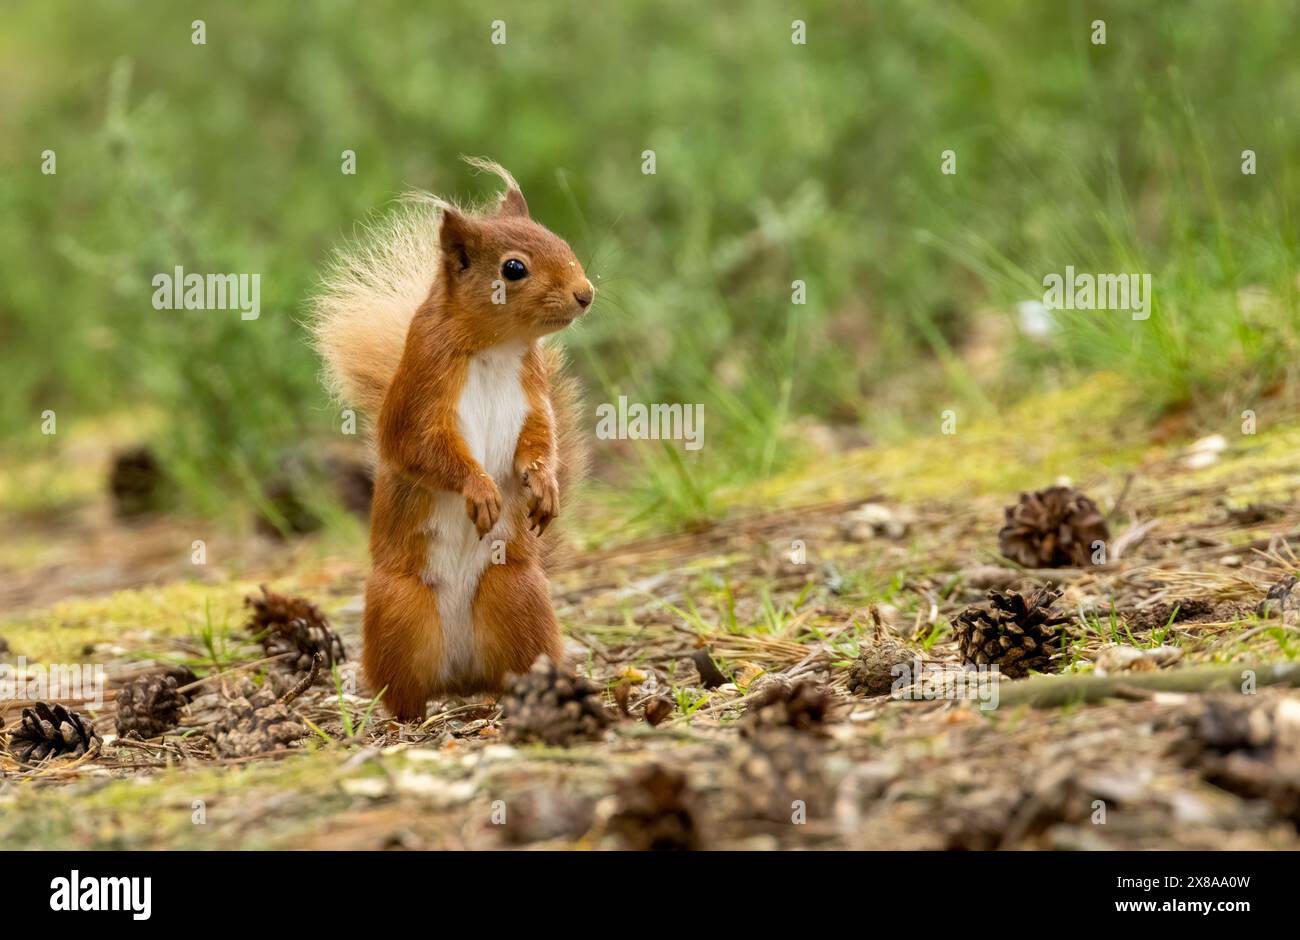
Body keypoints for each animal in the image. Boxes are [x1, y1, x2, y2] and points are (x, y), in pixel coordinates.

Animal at [311, 158, 593, 719]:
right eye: (513, 268)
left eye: (561, 239)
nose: (585, 293)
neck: (496, 349)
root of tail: (460, 678)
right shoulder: (421, 400)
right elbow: (423, 451)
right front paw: (479, 489)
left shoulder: (532, 401)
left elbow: (540, 441)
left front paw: (544, 485)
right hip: (400, 610)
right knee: (401, 690)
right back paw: (406, 718)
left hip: (516, 594)